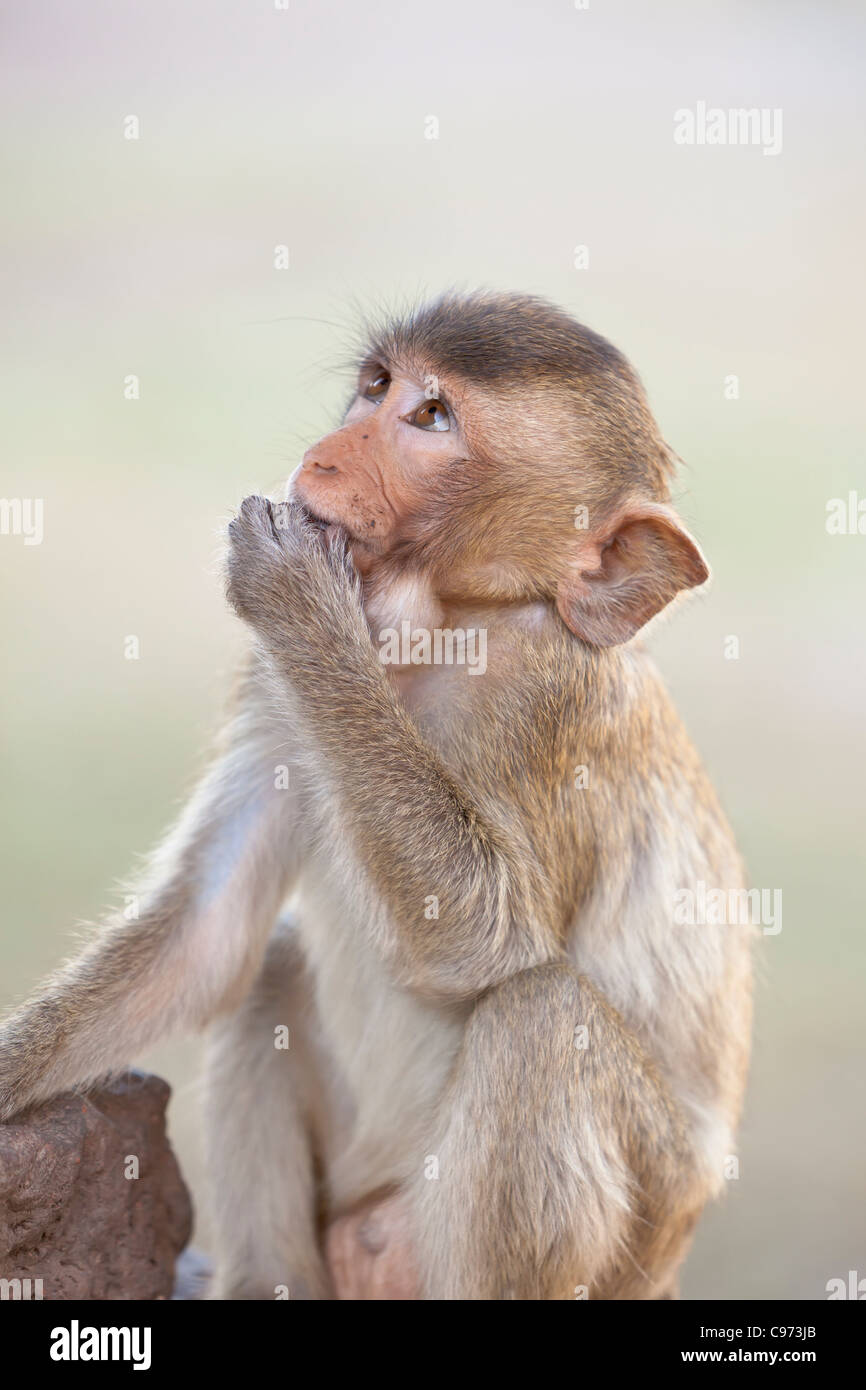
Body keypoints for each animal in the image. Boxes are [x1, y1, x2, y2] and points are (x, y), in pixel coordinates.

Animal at [0, 291, 752, 1300]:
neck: (440, 633)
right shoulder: (274, 692)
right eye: (376, 386)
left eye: (433, 418)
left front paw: (297, 598)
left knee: (540, 1016)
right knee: (276, 961)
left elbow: (483, 932)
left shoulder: (545, 699)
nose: (324, 455)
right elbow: (204, 936)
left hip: (624, 1237)